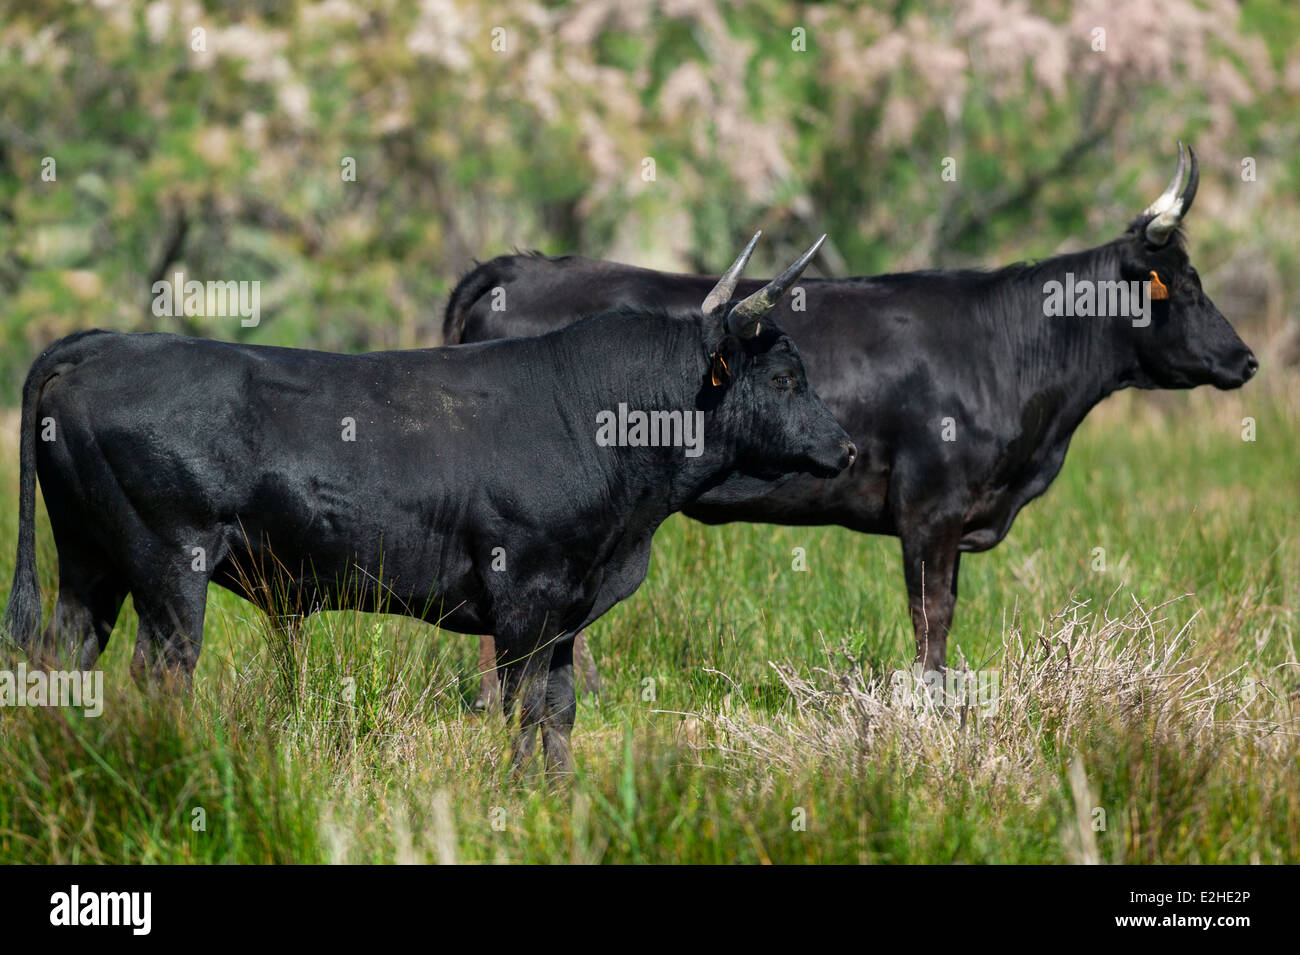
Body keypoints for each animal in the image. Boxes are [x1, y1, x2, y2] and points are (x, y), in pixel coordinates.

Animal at [2, 237, 855, 774]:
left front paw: (559, 798)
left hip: (90, 561)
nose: (847, 450)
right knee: (159, 675)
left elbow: (560, 709)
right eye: (786, 377)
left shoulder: (567, 607)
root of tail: (107, 342)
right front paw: (520, 797)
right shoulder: (527, 594)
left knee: (64, 658)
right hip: (165, 567)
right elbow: (525, 707)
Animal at [448, 144, 1257, 700]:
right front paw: (931, 705)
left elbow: (943, 611)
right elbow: (931, 614)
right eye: (1184, 286)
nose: (1245, 360)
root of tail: (525, 265)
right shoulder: (931, 508)